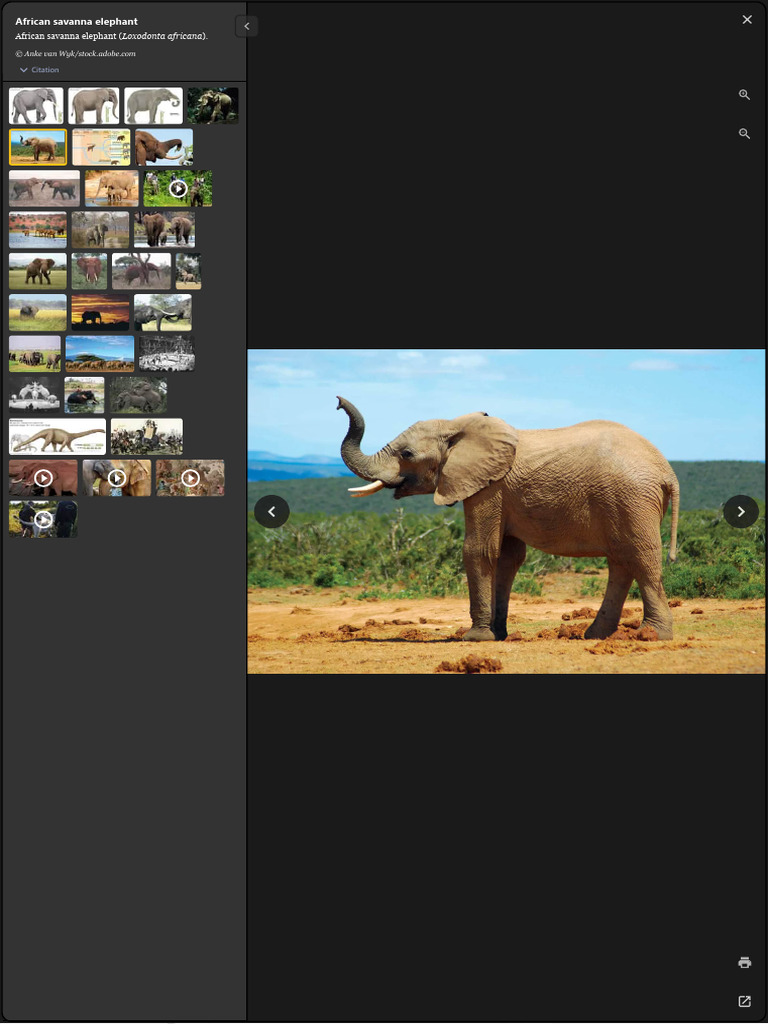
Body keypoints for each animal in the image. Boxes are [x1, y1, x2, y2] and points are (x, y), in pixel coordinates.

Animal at [336, 397, 681, 642]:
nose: (338, 402)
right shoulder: (501, 492)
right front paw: (497, 635)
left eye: (406, 454)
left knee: (639, 556)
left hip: (632, 499)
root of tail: (667, 471)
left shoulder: (489, 487)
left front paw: (475, 638)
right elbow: (507, 557)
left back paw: (652, 635)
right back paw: (595, 635)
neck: (457, 426)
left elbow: (479, 550)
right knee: (620, 561)